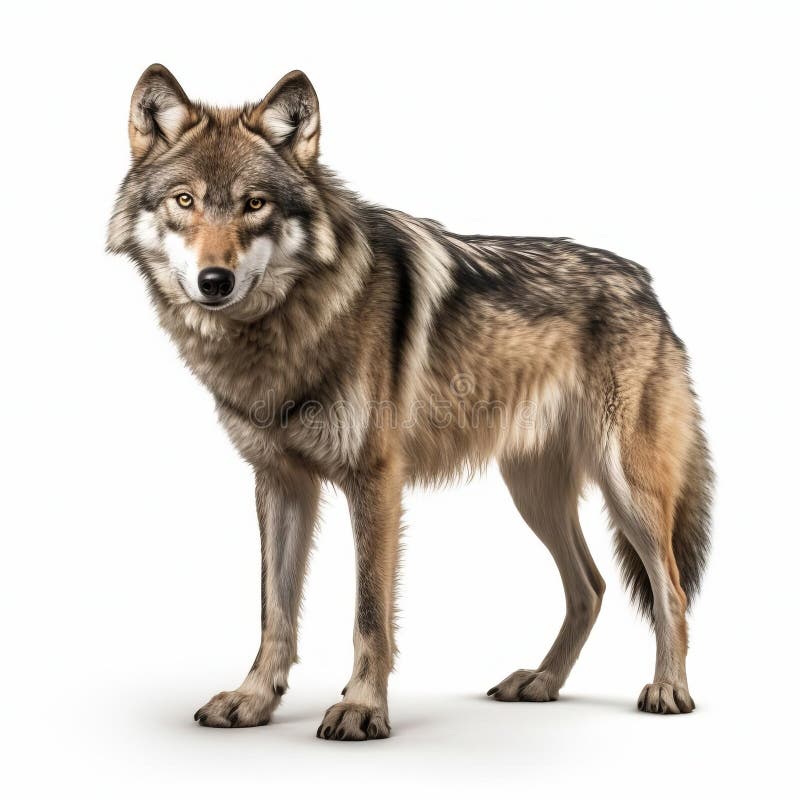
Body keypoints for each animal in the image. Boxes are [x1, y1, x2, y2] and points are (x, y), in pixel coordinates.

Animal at [108, 65, 713, 740]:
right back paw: (541, 682)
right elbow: (275, 611)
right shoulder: (280, 482)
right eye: (184, 201)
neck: (285, 332)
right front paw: (254, 699)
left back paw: (668, 690)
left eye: (254, 204)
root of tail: (645, 284)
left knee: (669, 589)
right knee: (592, 587)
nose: (215, 281)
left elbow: (370, 614)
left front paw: (362, 708)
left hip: (626, 487)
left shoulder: (376, 479)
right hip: (532, 493)